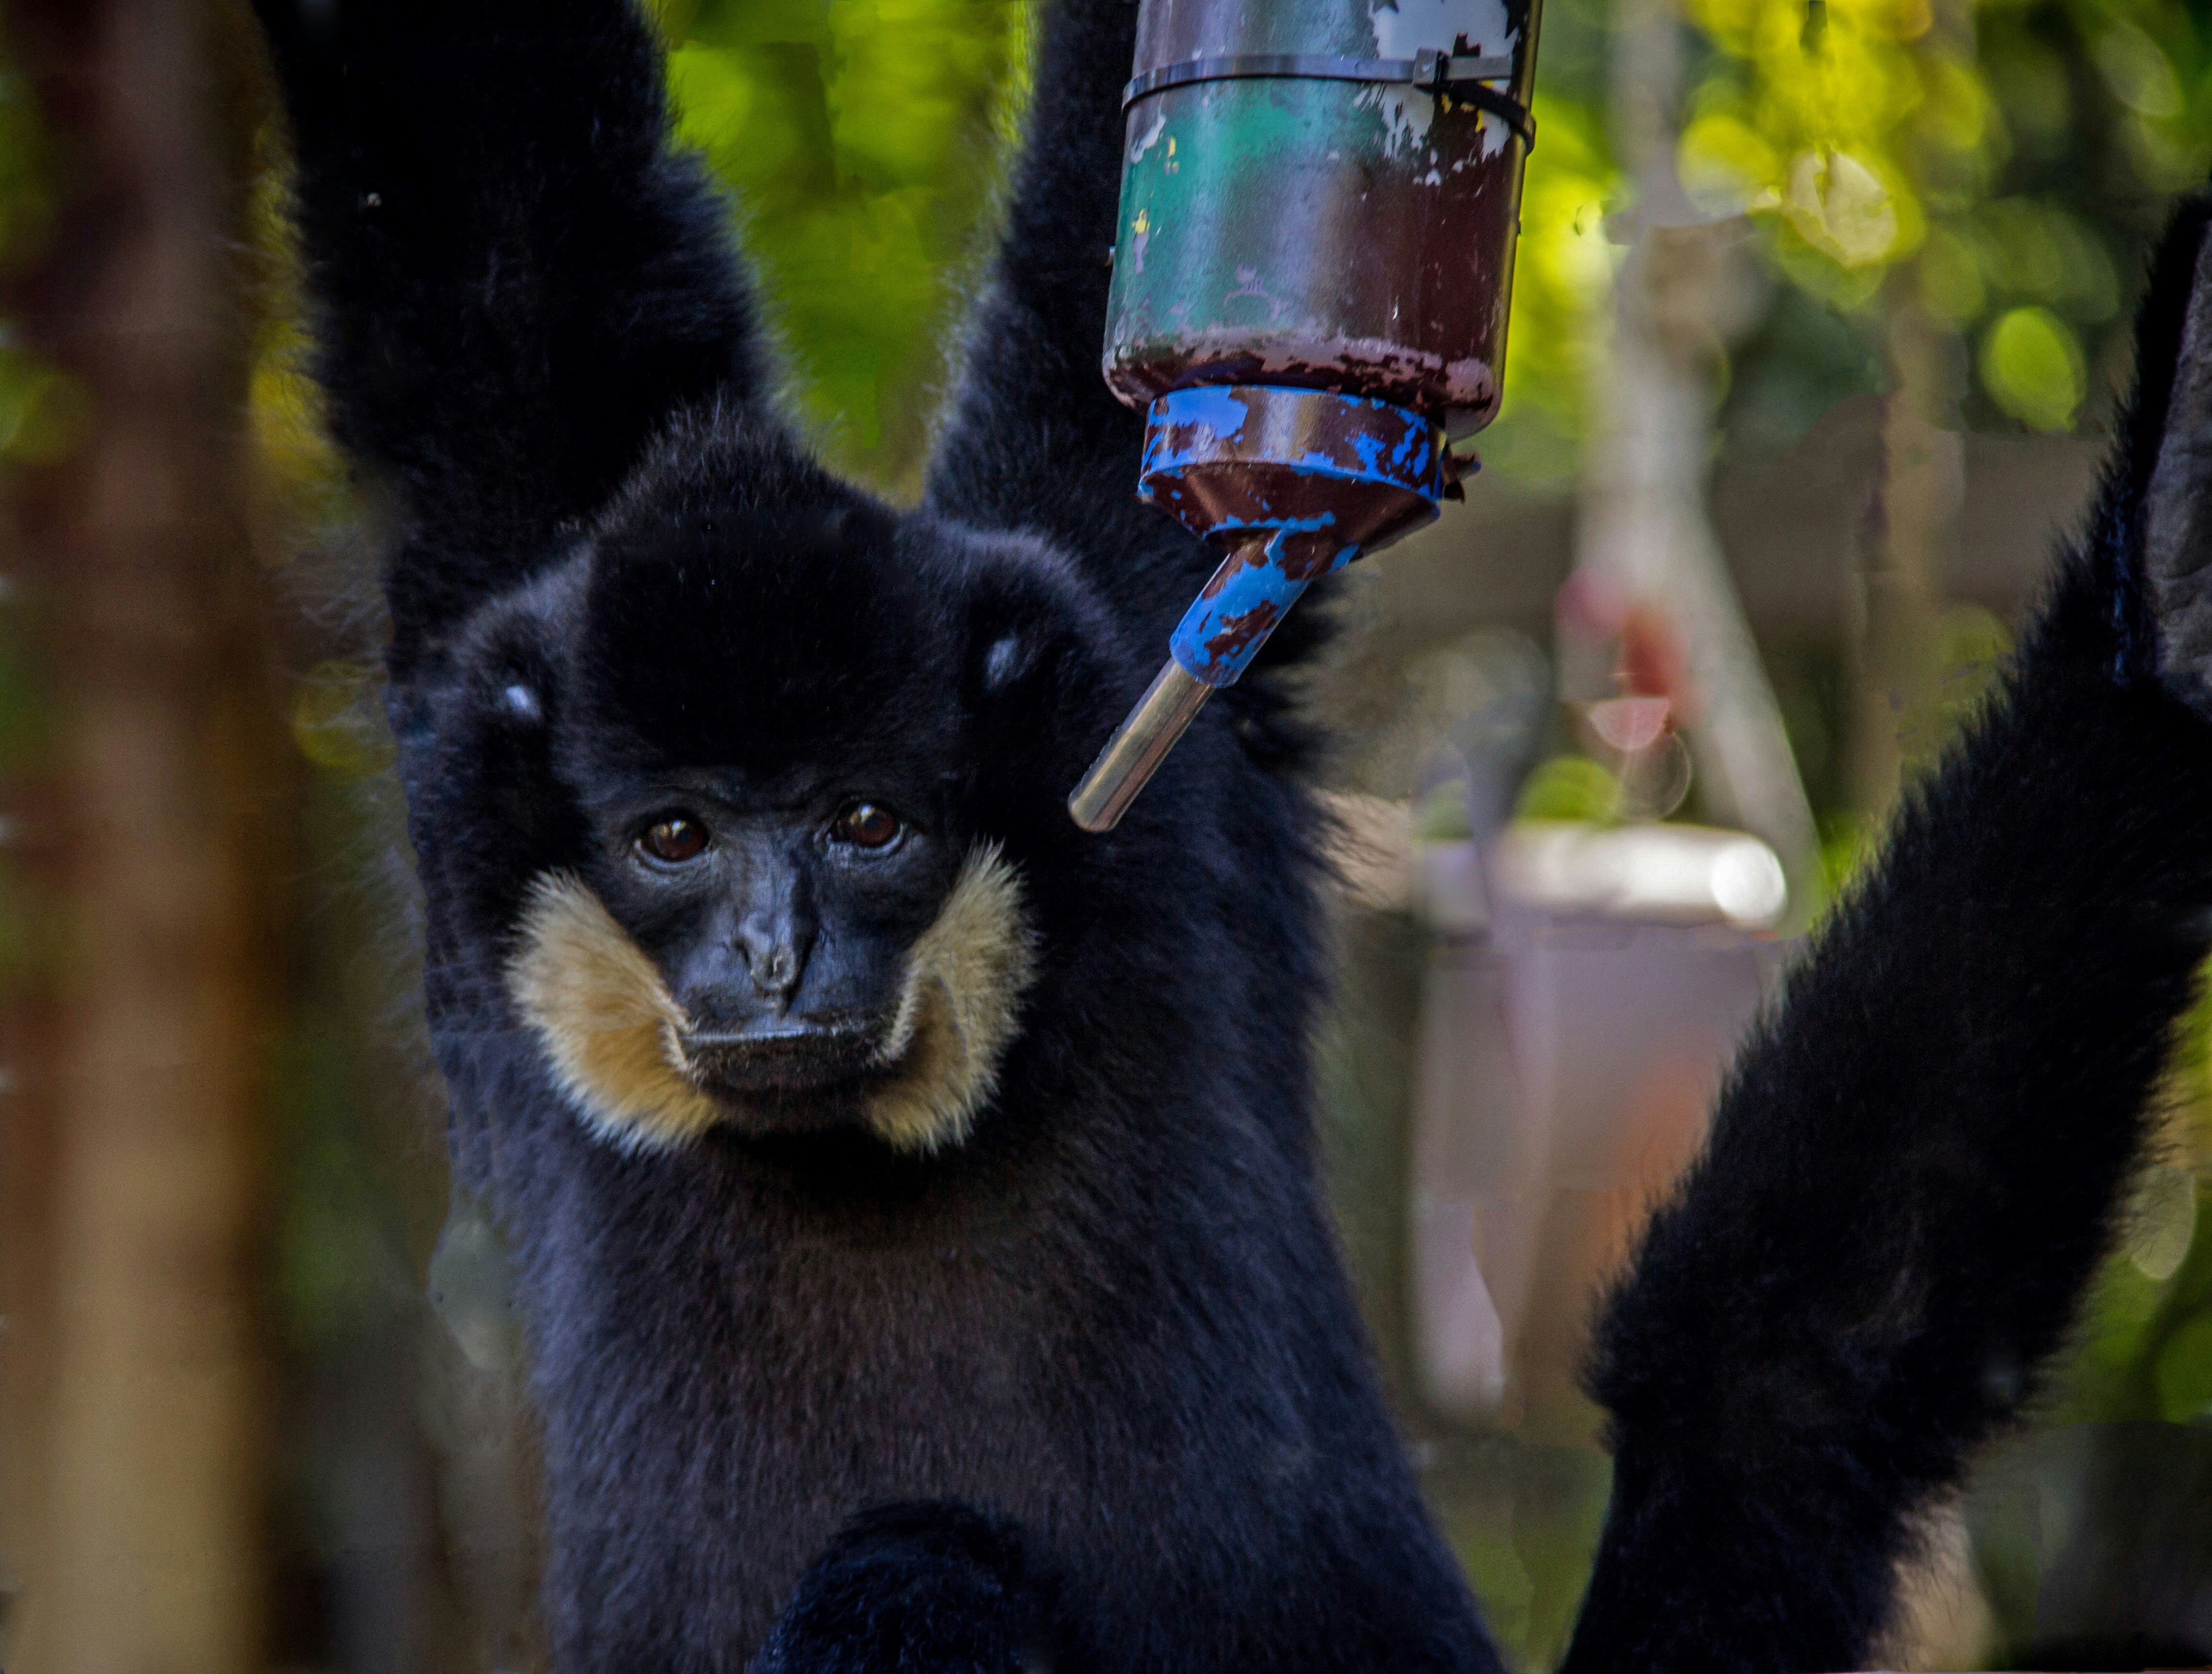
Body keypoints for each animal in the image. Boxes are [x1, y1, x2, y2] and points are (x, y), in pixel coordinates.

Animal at [247, 0, 2212, 1668]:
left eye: (865, 822)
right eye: (674, 837)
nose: (772, 954)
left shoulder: (1141, 690)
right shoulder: (487, 659)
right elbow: (485, 229)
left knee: (1777, 1365)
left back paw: (2160, 602)